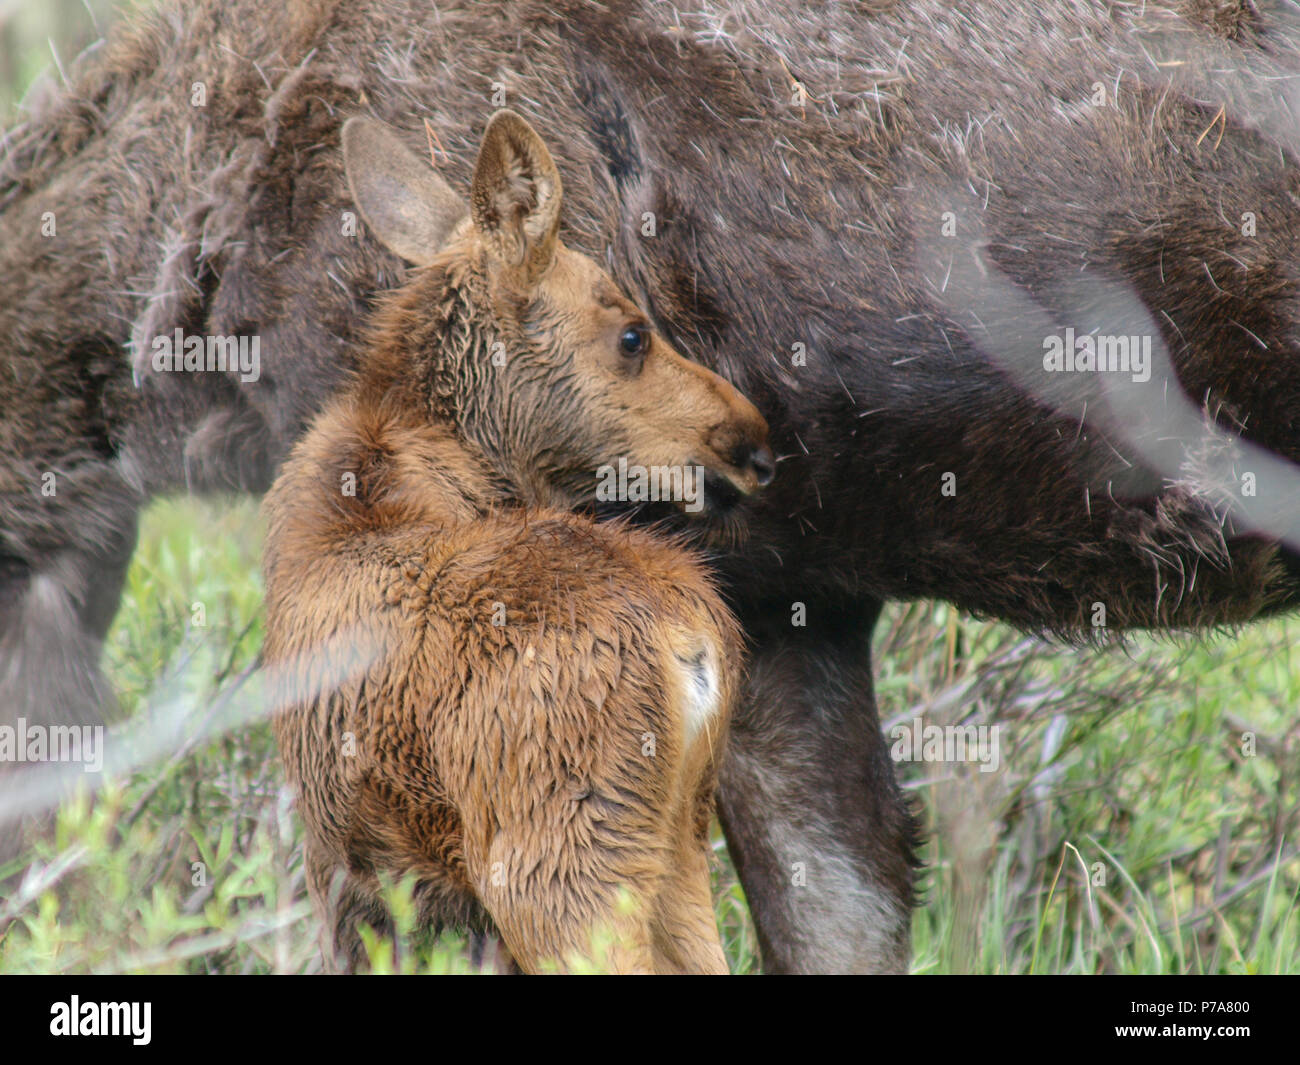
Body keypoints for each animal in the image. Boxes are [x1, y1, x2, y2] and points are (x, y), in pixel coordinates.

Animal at [260, 109, 774, 973]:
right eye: (632, 335)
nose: (755, 442)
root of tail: (690, 642)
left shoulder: (339, 861)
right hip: (675, 847)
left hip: (554, 863)